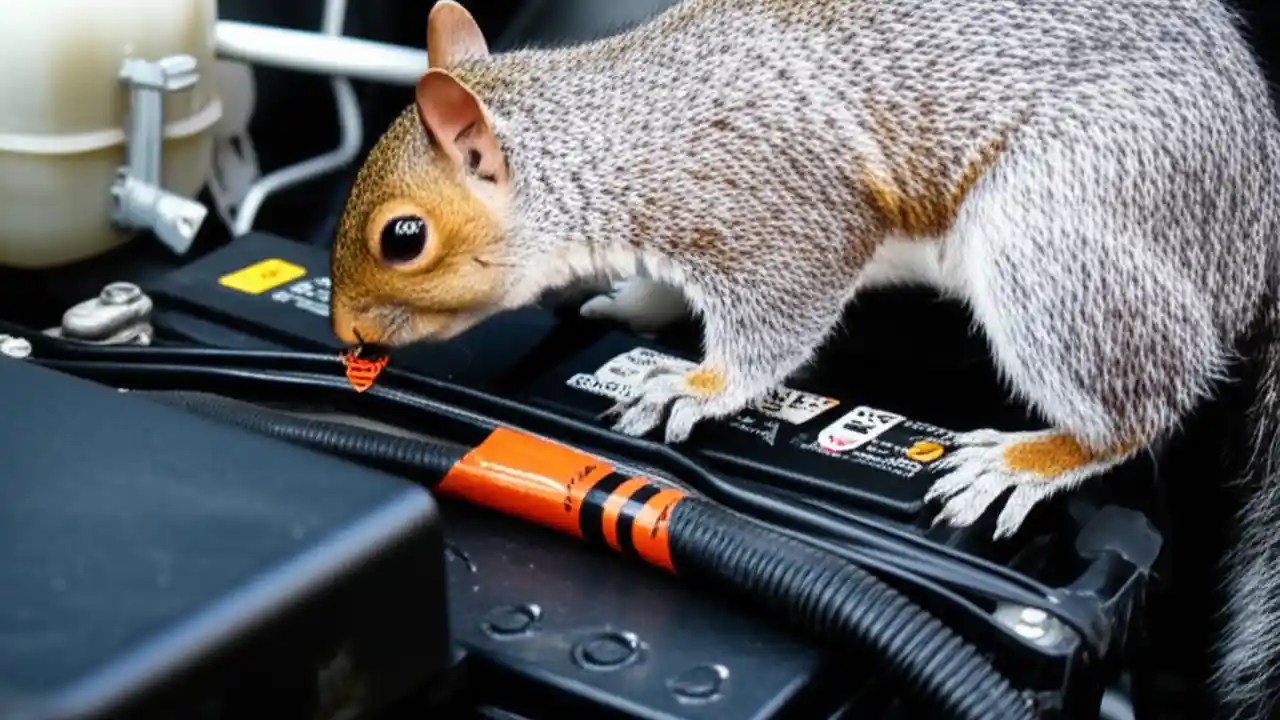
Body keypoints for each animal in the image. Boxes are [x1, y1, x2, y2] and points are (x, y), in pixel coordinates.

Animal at [328, 0, 1280, 715]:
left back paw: (1032, 457)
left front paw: (698, 383)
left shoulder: (774, 205)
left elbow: (779, 312)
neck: (619, 136)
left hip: (1058, 226)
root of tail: (1252, 228)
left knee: (1146, 399)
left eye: (403, 237)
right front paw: (637, 304)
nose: (344, 335)